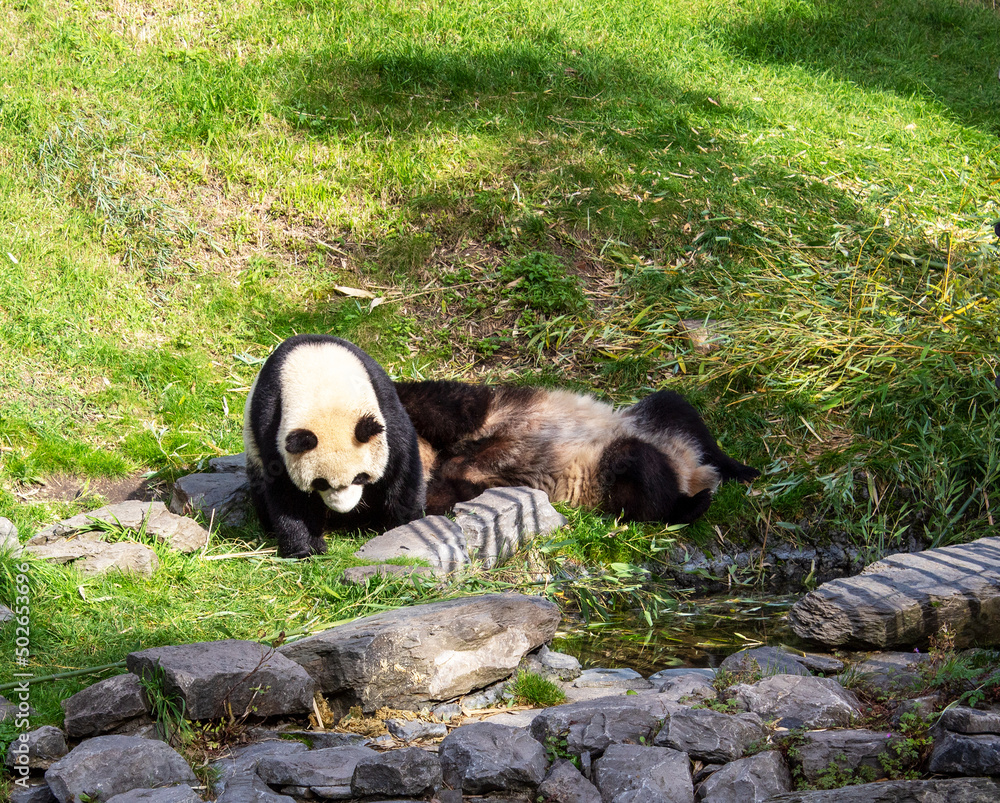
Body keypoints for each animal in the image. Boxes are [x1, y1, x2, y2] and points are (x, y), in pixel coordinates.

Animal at [243, 335, 425, 558]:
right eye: (321, 483)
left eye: (360, 477)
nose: (344, 508)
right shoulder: (273, 427)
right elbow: (287, 493)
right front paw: (307, 548)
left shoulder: (385, 409)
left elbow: (401, 468)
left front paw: (403, 527)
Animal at [394, 380, 759, 525]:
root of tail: (691, 471)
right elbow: (443, 496)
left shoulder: (497, 410)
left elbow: (452, 407)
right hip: (607, 477)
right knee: (641, 479)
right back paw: (693, 503)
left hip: (643, 419)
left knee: (678, 411)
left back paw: (740, 470)